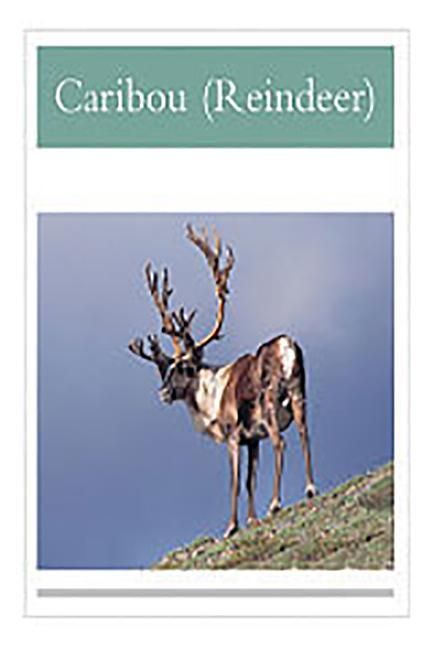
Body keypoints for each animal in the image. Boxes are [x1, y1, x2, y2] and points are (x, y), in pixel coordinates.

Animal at [128, 224, 316, 539]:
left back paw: (276, 503)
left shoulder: (233, 435)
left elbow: (235, 481)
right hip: (299, 393)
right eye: (167, 369)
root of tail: (286, 347)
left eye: (184, 368)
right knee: (304, 432)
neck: (211, 398)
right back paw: (311, 488)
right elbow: (251, 480)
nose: (163, 392)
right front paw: (251, 520)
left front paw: (231, 526)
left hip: (270, 404)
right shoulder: (253, 439)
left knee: (281, 443)